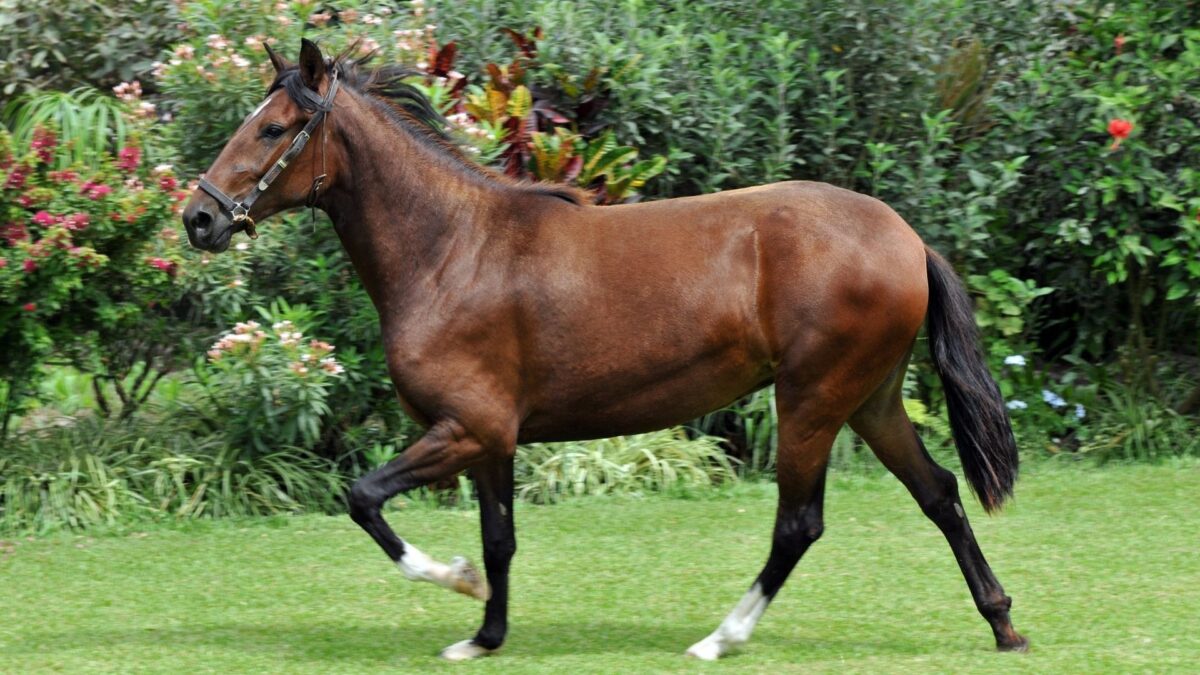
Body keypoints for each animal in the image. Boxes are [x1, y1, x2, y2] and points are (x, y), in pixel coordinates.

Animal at [182, 39, 1027, 661]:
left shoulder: (466, 428)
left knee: (800, 524)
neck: (452, 250)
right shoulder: (491, 438)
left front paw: (455, 582)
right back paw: (1003, 622)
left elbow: (365, 498)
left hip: (812, 400)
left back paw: (721, 637)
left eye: (271, 128)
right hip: (871, 398)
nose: (199, 217)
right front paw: (484, 634)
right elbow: (500, 539)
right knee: (939, 492)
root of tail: (907, 239)